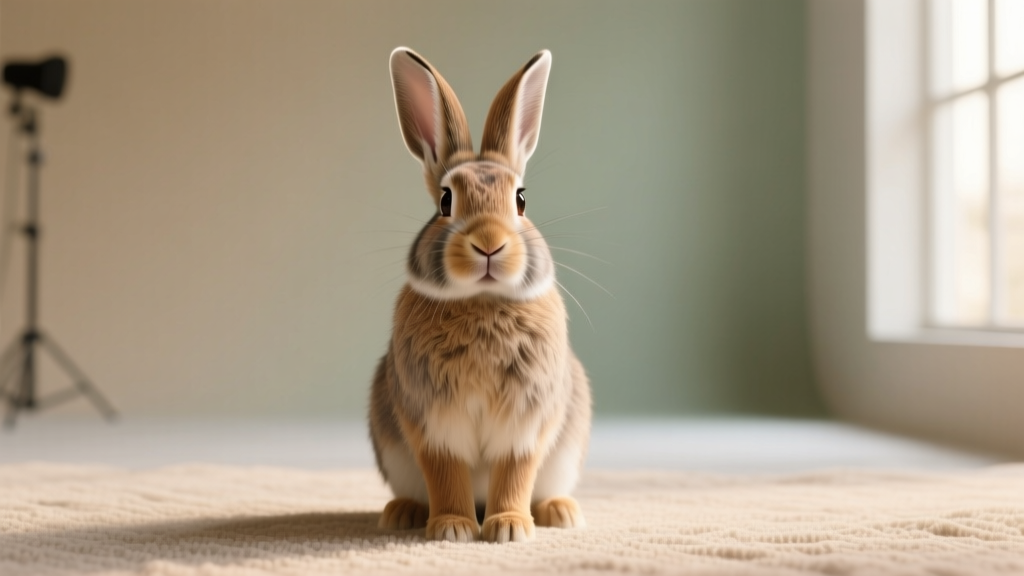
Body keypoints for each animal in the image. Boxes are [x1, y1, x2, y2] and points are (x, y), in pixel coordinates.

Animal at [368, 47, 592, 544]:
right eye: (445, 201)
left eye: (522, 199)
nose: (489, 243)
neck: (482, 303)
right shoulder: (432, 423)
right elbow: (445, 473)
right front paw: (453, 528)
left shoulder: (526, 422)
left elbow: (516, 472)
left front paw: (508, 528)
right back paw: (403, 513)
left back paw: (560, 512)